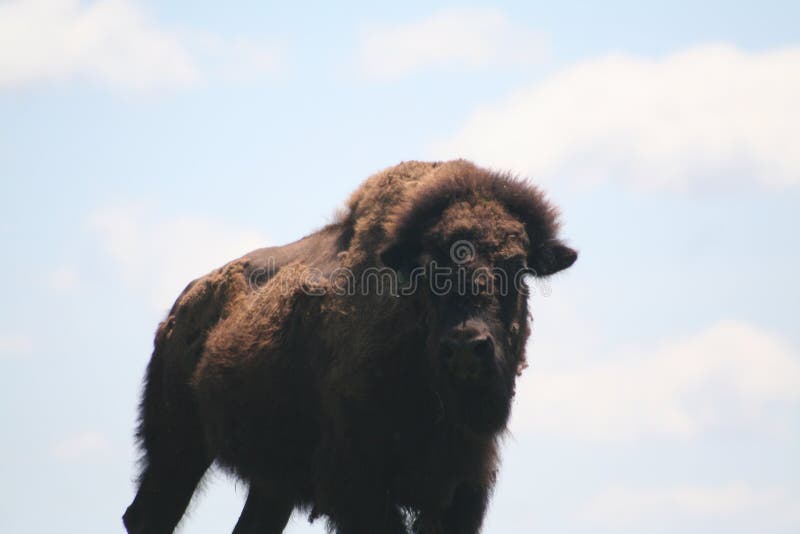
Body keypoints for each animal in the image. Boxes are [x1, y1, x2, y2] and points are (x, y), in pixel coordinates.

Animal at [123, 160, 577, 533]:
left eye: (516, 268)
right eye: (431, 268)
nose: (467, 346)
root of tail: (179, 310)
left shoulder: (462, 488)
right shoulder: (357, 483)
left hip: (271, 483)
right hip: (177, 445)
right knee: (147, 515)